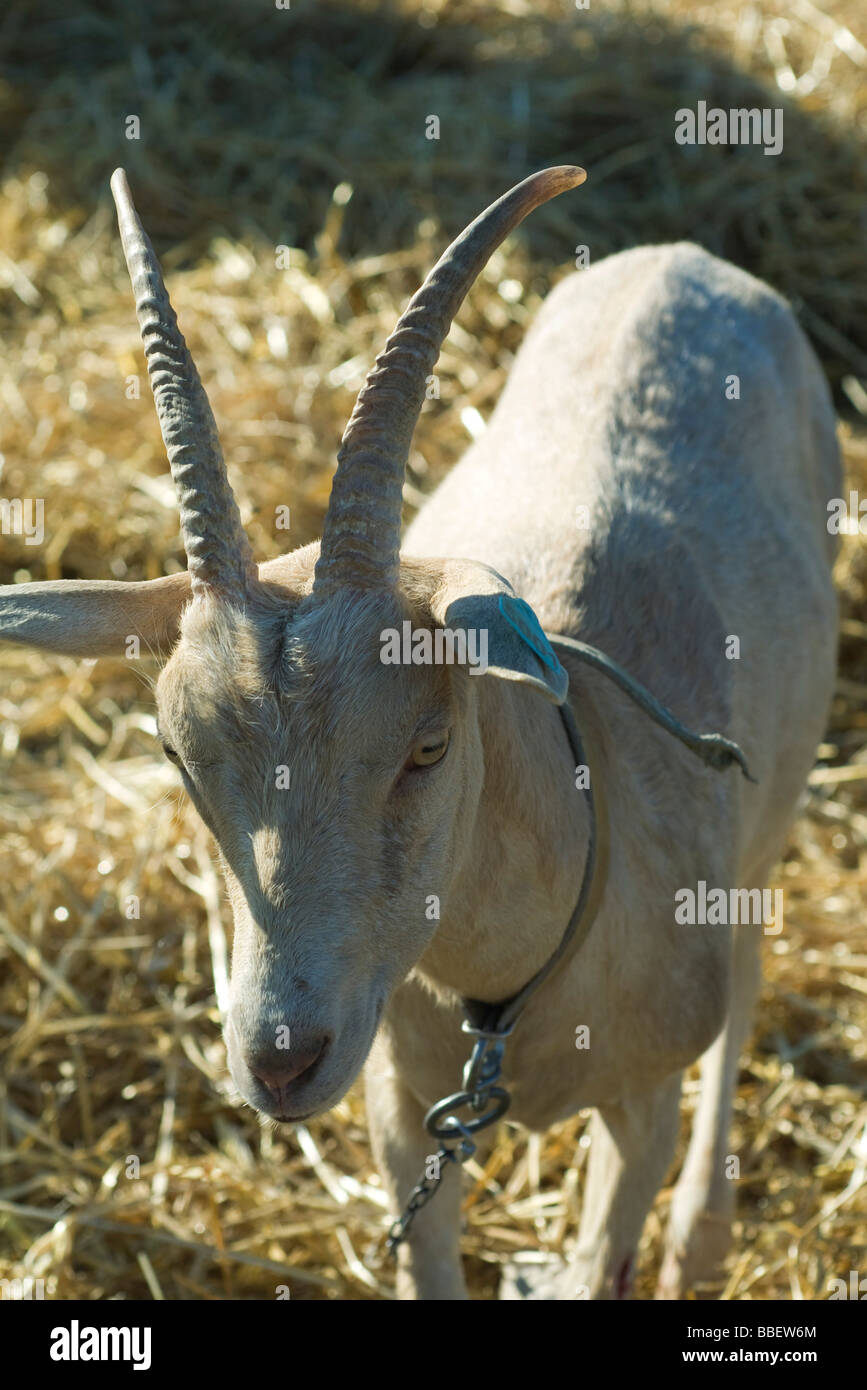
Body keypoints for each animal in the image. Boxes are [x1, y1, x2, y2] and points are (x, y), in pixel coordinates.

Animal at [0, 167, 839, 1300]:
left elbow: (607, 1240)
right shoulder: (401, 1106)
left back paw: (701, 1233)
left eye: (427, 746)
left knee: (749, 963)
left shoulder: (643, 1103)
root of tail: (685, 258)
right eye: (177, 755)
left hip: (770, 808)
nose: (280, 1059)